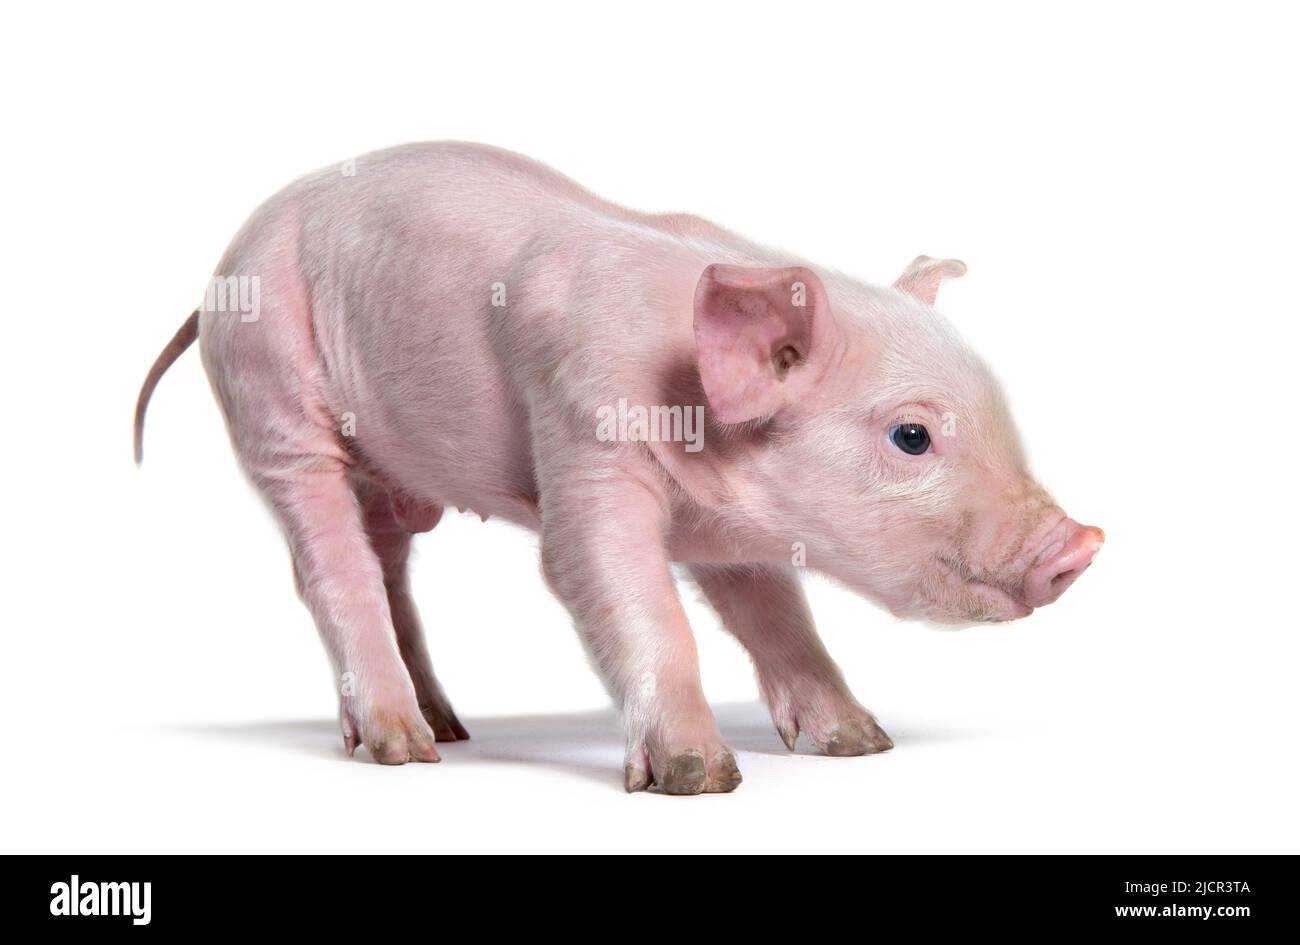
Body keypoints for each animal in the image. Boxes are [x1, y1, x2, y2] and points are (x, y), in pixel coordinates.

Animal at [134, 142, 1103, 794]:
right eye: (911, 436)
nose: (1083, 544)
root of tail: (218, 274)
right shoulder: (583, 431)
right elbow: (618, 588)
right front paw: (700, 777)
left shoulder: (735, 526)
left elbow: (779, 619)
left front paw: (864, 745)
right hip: (271, 394)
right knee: (328, 563)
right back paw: (404, 749)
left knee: (387, 559)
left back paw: (448, 728)